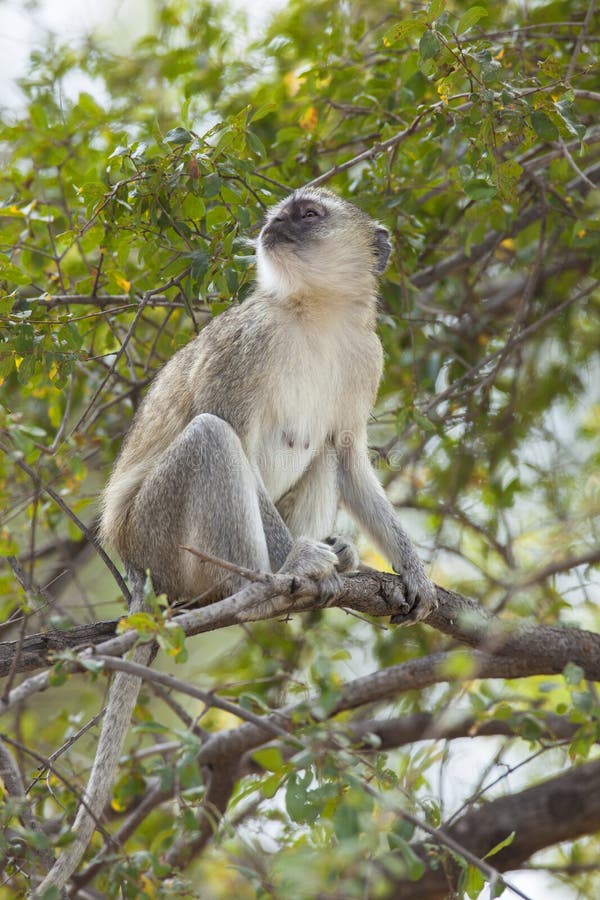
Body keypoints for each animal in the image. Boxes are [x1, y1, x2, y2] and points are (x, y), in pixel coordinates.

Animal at [37, 187, 436, 894]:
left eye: (307, 214)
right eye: (283, 211)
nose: (271, 225)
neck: (316, 314)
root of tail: (132, 559)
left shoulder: (368, 356)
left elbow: (350, 457)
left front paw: (410, 570)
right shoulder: (246, 348)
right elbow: (235, 436)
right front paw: (298, 559)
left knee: (321, 454)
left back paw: (328, 560)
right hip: (160, 536)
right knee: (211, 437)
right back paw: (263, 585)